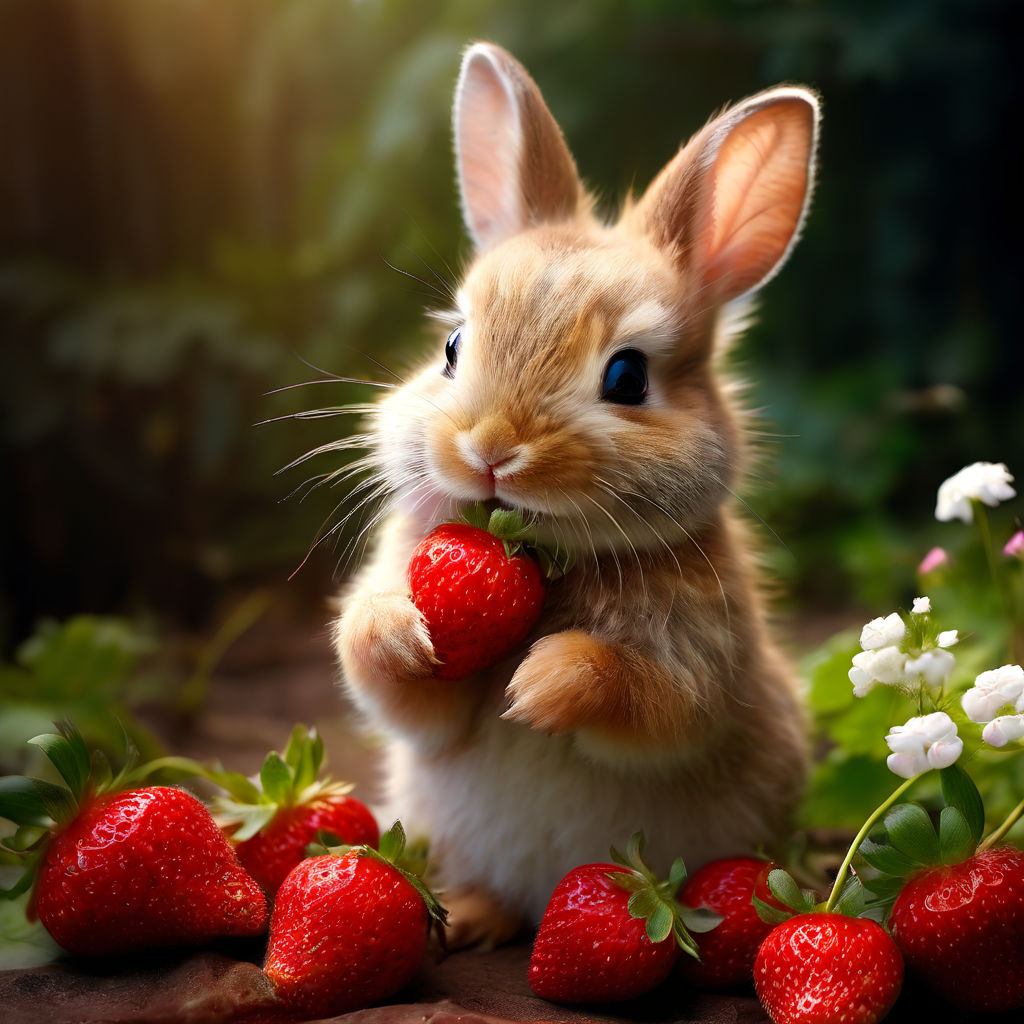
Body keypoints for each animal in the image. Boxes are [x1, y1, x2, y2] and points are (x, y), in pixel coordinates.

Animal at [333, 41, 820, 949]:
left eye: (627, 378)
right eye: (452, 347)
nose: (489, 450)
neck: (545, 556)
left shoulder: (702, 660)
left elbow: (651, 699)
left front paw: (537, 686)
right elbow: (392, 679)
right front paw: (406, 634)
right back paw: (467, 917)